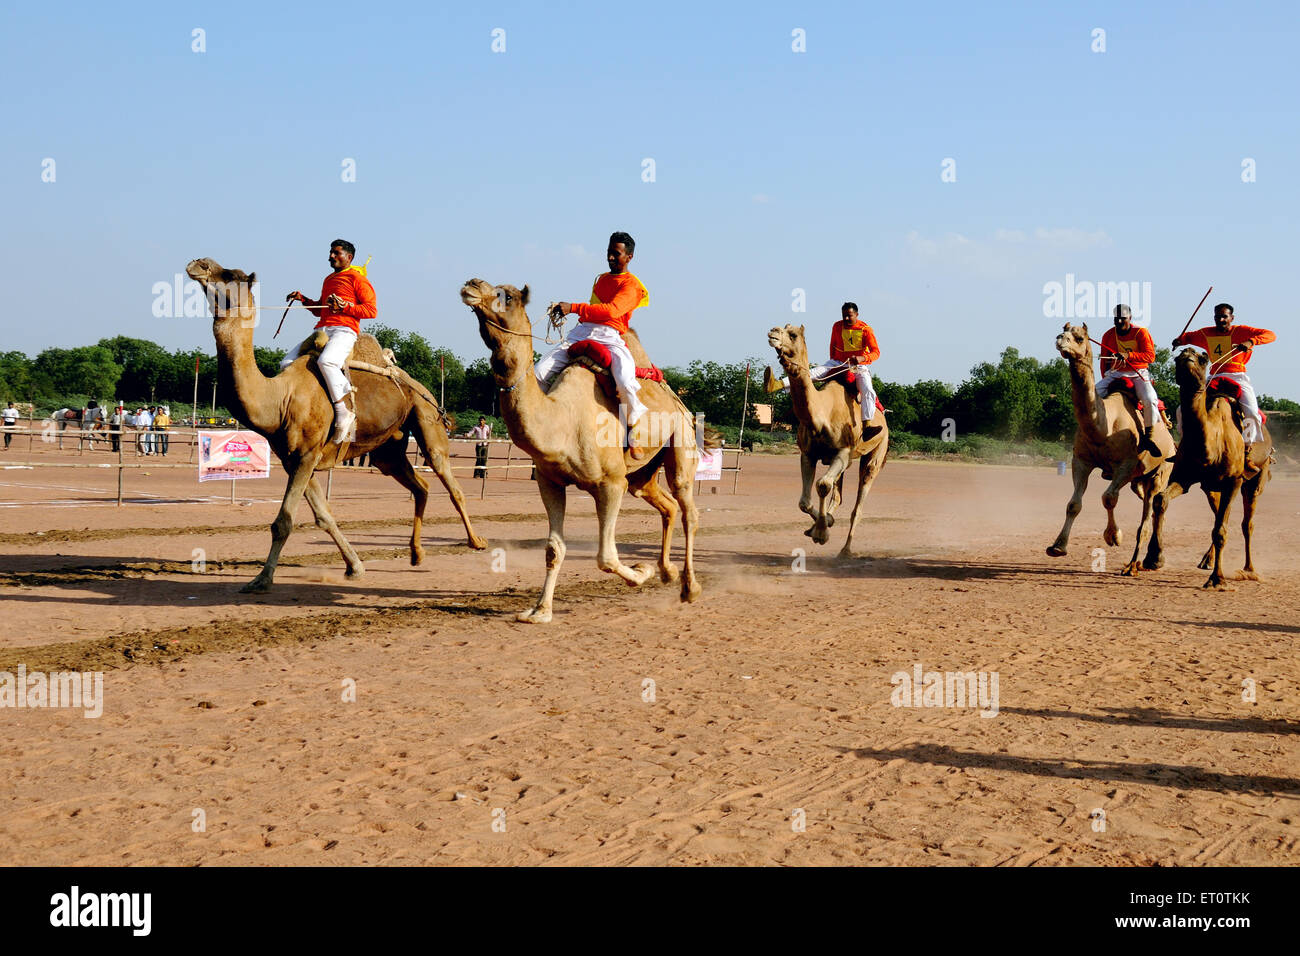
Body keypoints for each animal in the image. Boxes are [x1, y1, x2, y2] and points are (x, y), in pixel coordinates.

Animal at [186, 258, 486, 592]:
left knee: (450, 481)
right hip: (387, 450)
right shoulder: (295, 459)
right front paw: (355, 567)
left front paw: (261, 579)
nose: (199, 263)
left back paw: (476, 541)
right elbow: (323, 515)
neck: (279, 399)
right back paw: (416, 554)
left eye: (230, 275)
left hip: (426, 416)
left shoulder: (306, 456)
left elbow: (283, 521)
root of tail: (419, 386)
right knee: (420, 486)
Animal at [460, 278, 711, 623]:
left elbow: (606, 556)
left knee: (688, 508)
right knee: (667, 505)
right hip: (641, 475)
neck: (562, 421)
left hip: (680, 441)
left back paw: (690, 587)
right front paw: (540, 611)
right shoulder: (550, 482)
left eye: (506, 296)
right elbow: (554, 549)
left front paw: (641, 570)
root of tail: (678, 402)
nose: (471, 284)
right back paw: (668, 572)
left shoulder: (611, 483)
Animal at [766, 325, 889, 557]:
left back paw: (846, 550)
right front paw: (820, 527)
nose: (772, 332)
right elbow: (805, 502)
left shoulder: (843, 451)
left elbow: (822, 485)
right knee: (837, 495)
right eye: (783, 328)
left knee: (858, 504)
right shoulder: (808, 454)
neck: (822, 414)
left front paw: (822, 534)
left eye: (793, 334)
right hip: (845, 462)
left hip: (877, 452)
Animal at [1047, 324, 1175, 574]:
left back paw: (1136, 564)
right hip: (1140, 480)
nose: (1059, 339)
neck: (1103, 427)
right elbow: (1073, 504)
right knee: (1150, 504)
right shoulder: (1081, 461)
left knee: (1152, 510)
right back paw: (1154, 558)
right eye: (1062, 330)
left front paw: (1113, 536)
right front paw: (1057, 547)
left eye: (1079, 337)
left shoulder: (1126, 465)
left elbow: (1108, 498)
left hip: (1161, 470)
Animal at [1143, 347, 1272, 589]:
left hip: (1256, 478)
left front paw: (1217, 580)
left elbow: (1221, 530)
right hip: (1210, 487)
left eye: (1203, 358)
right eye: (1177, 357)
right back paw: (1207, 560)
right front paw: (1153, 558)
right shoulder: (1184, 476)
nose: (1188, 354)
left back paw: (1249, 569)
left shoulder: (1233, 481)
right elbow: (1160, 500)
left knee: (1246, 523)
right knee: (1218, 514)